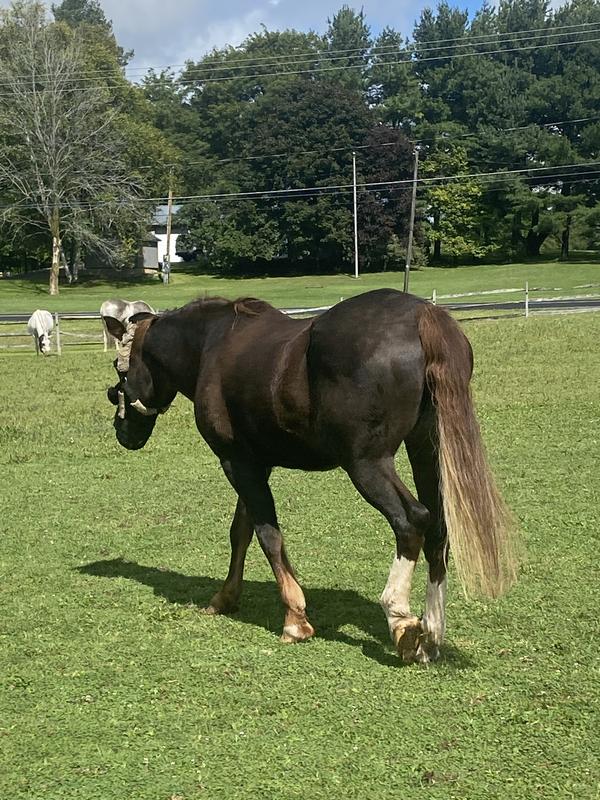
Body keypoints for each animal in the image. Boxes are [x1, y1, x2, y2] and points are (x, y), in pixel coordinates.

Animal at [103, 289, 518, 663]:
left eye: (119, 372)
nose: (123, 433)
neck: (211, 346)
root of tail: (421, 314)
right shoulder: (253, 462)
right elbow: (242, 532)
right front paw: (226, 597)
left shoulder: (236, 462)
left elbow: (268, 535)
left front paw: (295, 617)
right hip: (425, 451)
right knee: (439, 528)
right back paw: (431, 632)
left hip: (367, 464)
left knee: (412, 520)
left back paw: (400, 618)